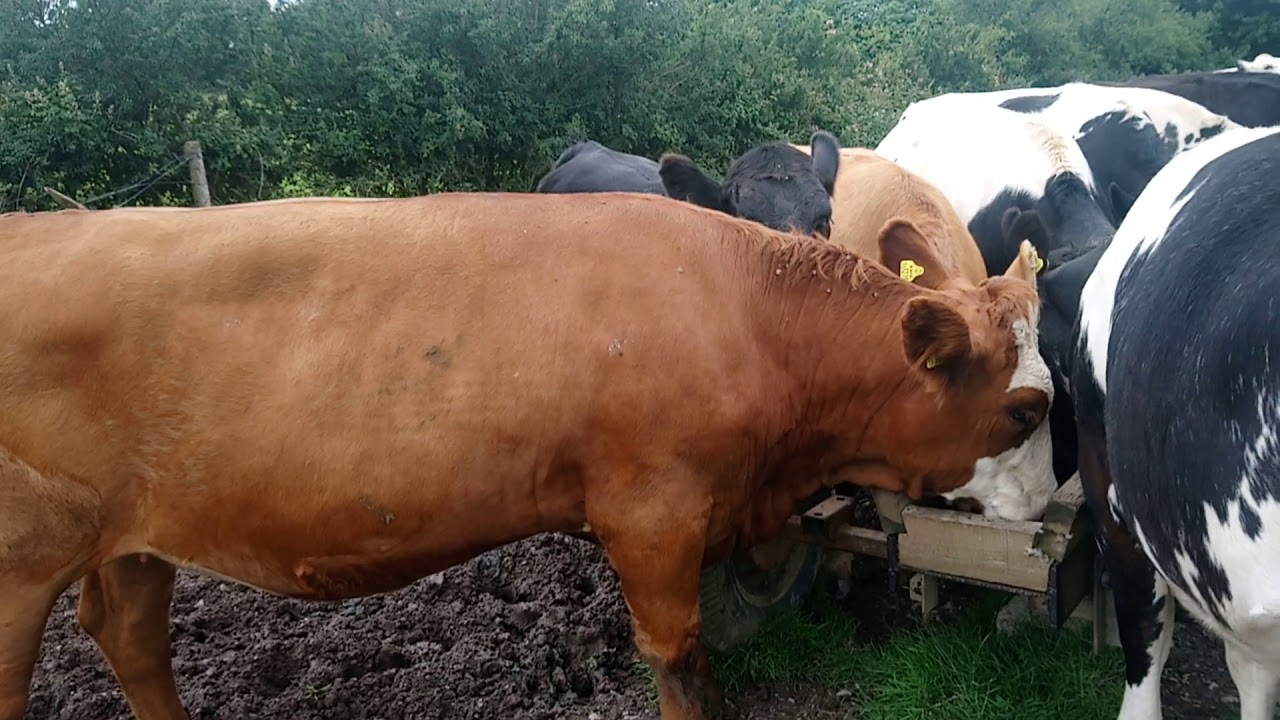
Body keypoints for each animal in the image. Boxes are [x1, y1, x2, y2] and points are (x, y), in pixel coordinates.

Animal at [0, 191, 1054, 720]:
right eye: (1025, 409)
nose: (1051, 513)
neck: (749, 314)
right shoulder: (650, 512)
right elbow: (679, 660)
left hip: (135, 535)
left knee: (131, 637)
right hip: (21, 565)